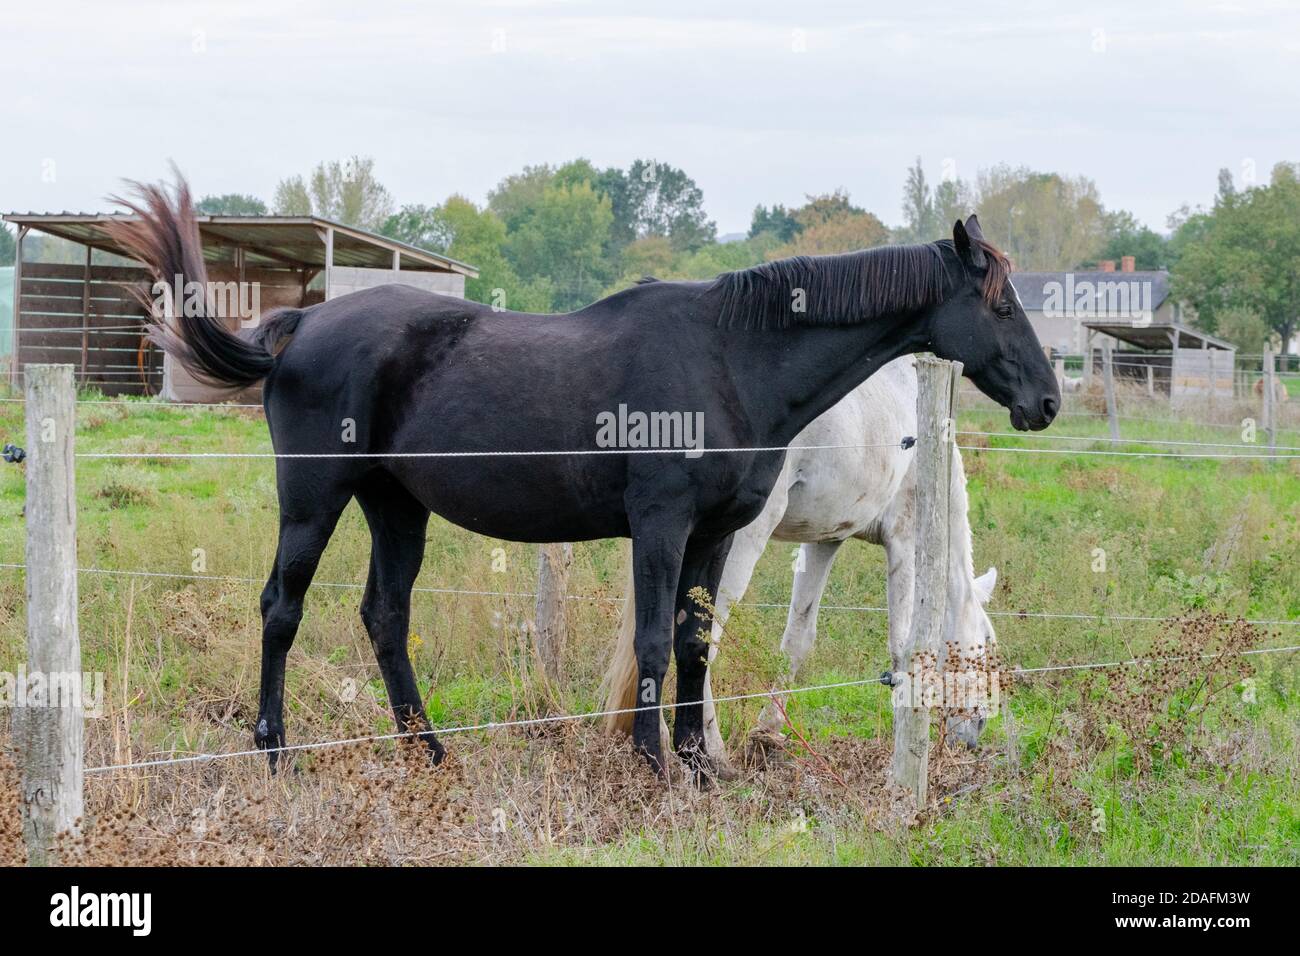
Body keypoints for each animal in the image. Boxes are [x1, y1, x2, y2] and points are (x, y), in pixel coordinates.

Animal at [602, 356, 998, 773]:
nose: (975, 734)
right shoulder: (906, 542)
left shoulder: (825, 541)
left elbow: (798, 638)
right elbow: (903, 646)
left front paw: (767, 734)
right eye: (986, 647)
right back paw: (709, 751)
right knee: (705, 642)